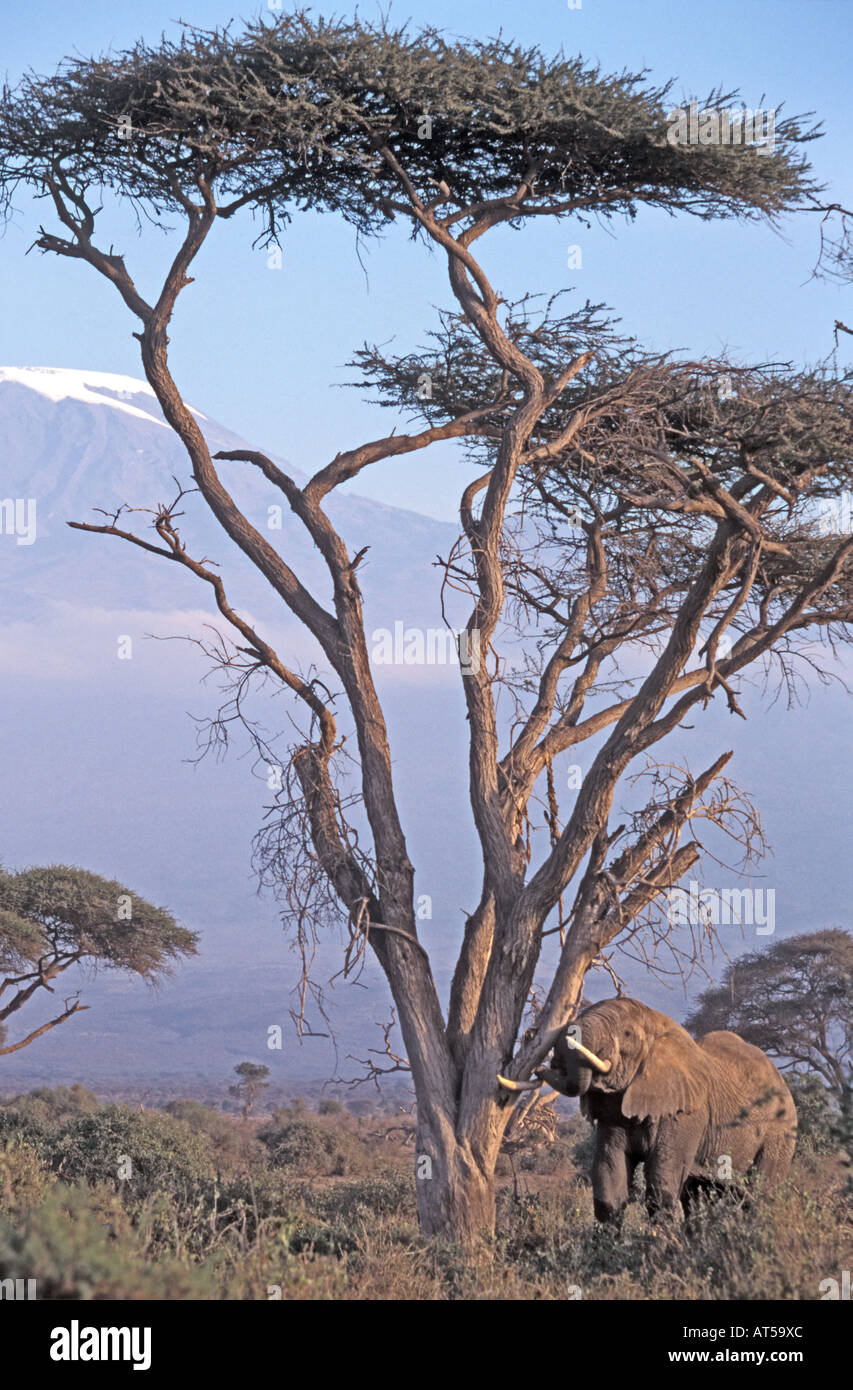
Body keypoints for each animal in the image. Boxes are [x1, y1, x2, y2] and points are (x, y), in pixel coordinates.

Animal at [505, 997, 797, 1223]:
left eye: (627, 1034)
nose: (538, 1066)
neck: (658, 1026)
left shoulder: (685, 1113)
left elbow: (660, 1185)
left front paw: (660, 1251)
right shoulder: (614, 1111)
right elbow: (609, 1180)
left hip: (780, 1135)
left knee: (760, 1195)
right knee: (696, 1197)